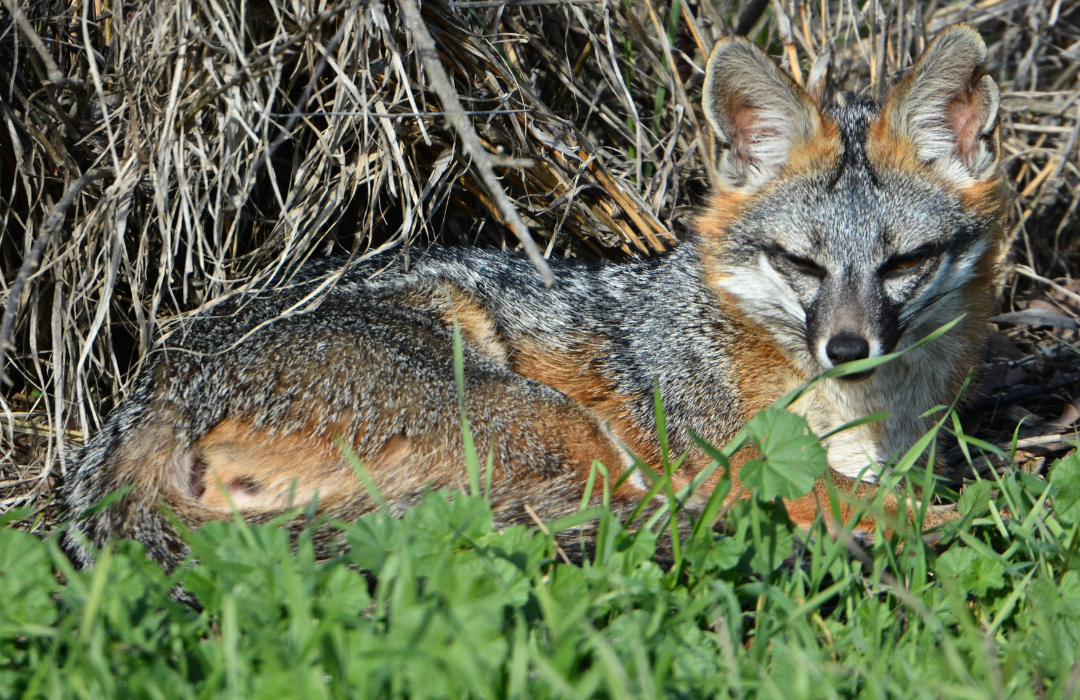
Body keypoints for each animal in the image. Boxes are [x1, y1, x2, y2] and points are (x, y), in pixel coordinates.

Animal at [61, 24, 1010, 571]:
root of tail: (159, 380)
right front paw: (943, 516)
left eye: (904, 261)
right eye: (800, 264)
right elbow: (850, 494)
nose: (847, 349)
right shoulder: (732, 455)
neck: (858, 415)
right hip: (557, 424)